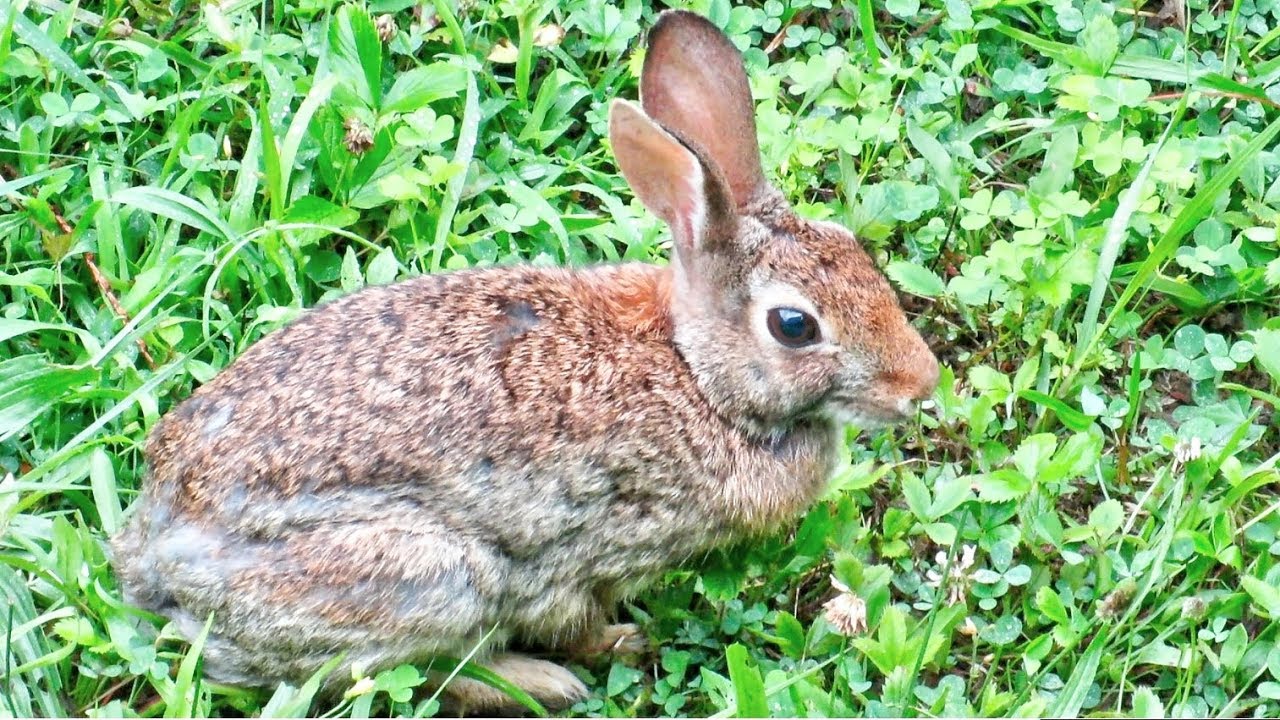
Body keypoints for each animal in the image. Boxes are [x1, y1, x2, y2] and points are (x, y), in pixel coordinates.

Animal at [111, 8, 939, 715]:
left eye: (854, 248)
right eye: (794, 326)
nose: (921, 386)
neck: (694, 374)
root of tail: (154, 553)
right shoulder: (580, 553)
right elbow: (574, 617)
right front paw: (619, 644)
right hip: (434, 575)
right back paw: (542, 683)